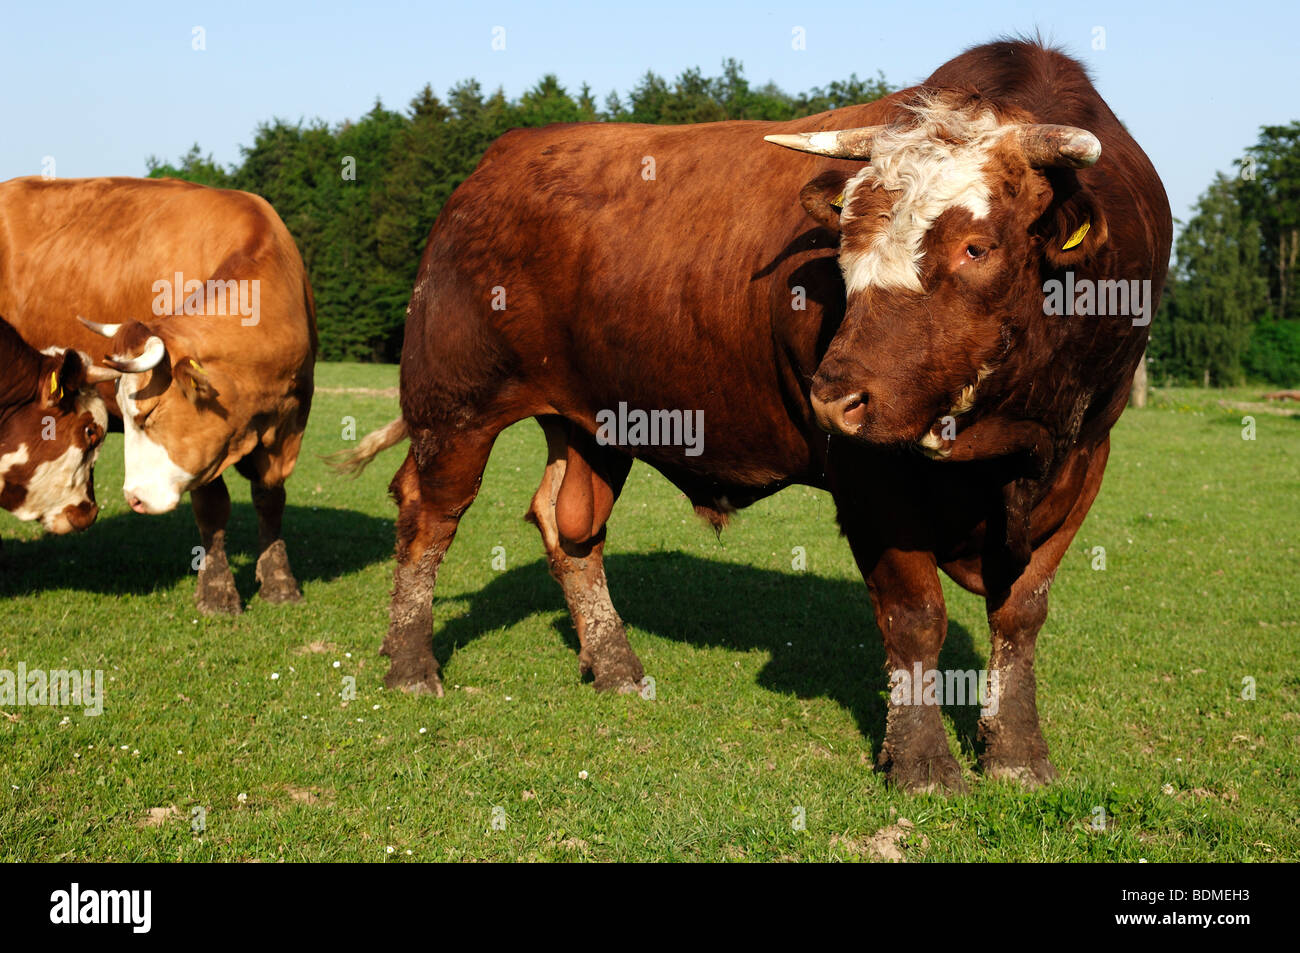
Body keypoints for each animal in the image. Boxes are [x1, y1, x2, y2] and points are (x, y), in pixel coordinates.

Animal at [338, 39, 1172, 792]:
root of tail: (502, 156)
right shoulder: (871, 475)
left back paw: (616, 666)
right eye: (845, 245)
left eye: (977, 245)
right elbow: (916, 614)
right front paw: (924, 766)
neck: (1005, 440)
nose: (833, 396)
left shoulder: (1084, 455)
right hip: (456, 401)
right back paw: (411, 664)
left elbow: (1021, 614)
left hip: (594, 421)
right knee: (429, 514)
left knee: (570, 525)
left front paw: (1019, 756)